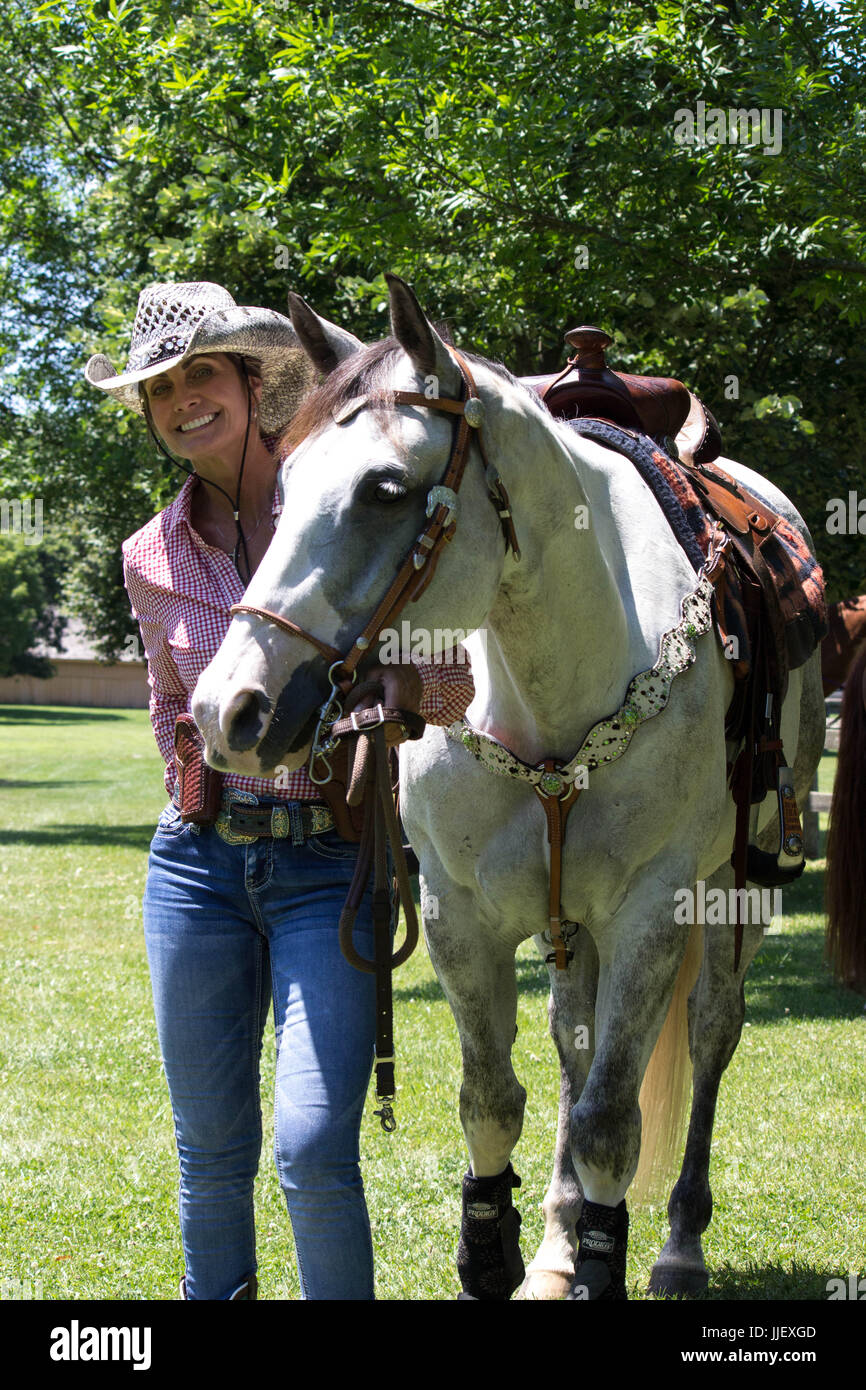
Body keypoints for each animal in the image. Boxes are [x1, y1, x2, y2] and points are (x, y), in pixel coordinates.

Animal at [191, 275, 826, 1300]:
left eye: (384, 490)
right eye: (281, 489)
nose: (228, 710)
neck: (554, 688)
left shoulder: (653, 913)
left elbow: (609, 1120)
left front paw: (608, 1251)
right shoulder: (460, 917)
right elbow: (493, 1100)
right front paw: (513, 1248)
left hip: (738, 891)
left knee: (709, 1034)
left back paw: (679, 1243)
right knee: (574, 1042)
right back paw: (561, 1246)